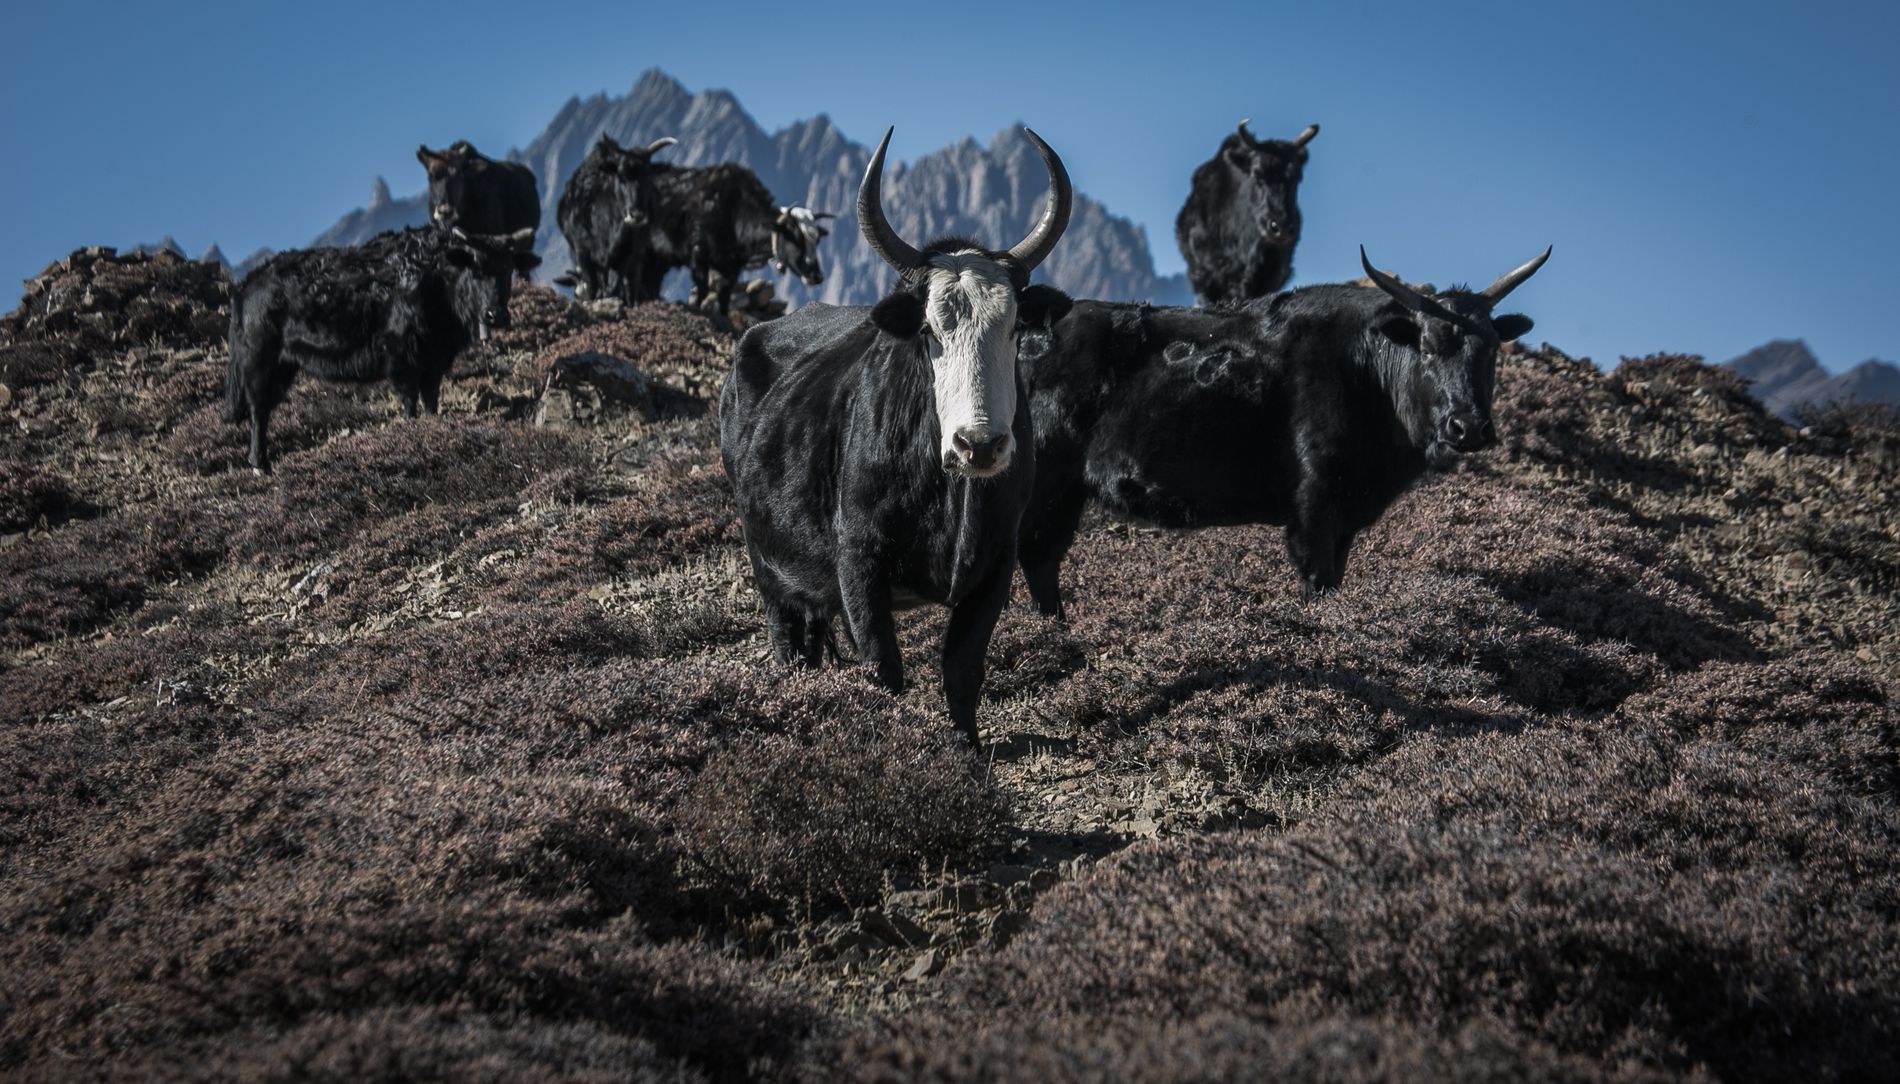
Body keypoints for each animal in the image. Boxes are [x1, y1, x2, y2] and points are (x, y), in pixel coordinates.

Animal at [224, 226, 539, 473]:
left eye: (508, 270)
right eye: (477, 269)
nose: (495, 315)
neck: (437, 279)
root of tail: (245, 287)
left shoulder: (434, 360)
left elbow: (431, 399)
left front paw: (434, 427)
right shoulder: (402, 355)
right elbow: (410, 399)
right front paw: (413, 433)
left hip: (283, 366)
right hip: (259, 361)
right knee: (258, 409)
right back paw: (260, 465)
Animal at [554, 134, 678, 302]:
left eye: (648, 176)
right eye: (621, 178)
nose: (637, 214)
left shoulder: (626, 257)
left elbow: (619, 286)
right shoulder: (583, 254)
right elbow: (593, 285)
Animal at [720, 127, 1074, 743]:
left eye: (1014, 328)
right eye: (930, 331)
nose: (979, 446)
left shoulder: (997, 562)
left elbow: (962, 669)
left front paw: (965, 750)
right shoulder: (859, 564)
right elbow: (884, 670)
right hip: (767, 565)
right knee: (787, 642)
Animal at [1016, 246, 1549, 617]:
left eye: (1492, 348)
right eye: (1427, 344)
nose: (1469, 426)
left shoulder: (1345, 516)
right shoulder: (1311, 503)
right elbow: (1317, 581)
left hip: (1065, 494)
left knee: (1043, 559)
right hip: (1041, 482)